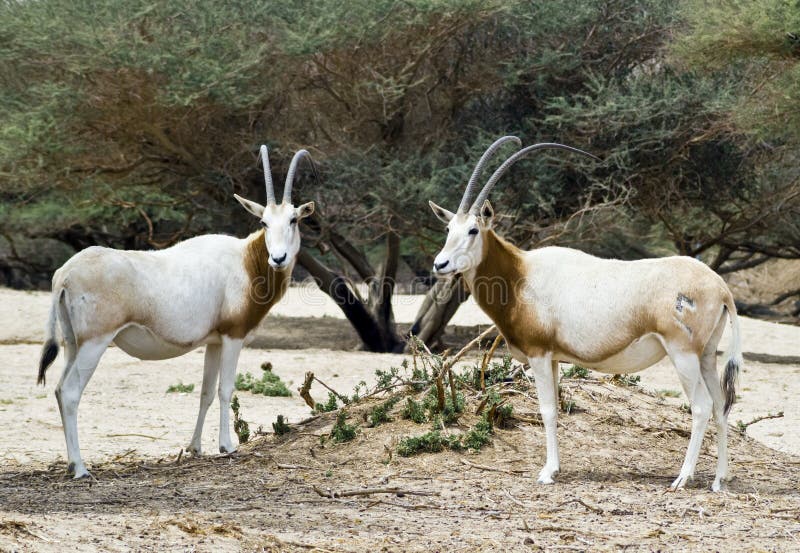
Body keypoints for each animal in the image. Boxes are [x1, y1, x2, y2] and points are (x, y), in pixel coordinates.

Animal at [37, 146, 316, 478]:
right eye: (263, 222)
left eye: (293, 220)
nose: (278, 258)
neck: (246, 262)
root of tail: (64, 274)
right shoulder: (233, 337)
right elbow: (226, 389)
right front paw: (227, 446)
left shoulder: (214, 341)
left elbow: (206, 392)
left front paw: (195, 448)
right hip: (95, 342)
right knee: (69, 391)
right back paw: (80, 468)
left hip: (72, 343)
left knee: (57, 389)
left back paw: (71, 463)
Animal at [429, 137, 742, 491]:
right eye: (448, 228)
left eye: (473, 230)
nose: (440, 264)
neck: (521, 274)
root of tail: (720, 286)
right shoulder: (552, 358)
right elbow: (554, 409)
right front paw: (554, 468)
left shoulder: (538, 354)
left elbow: (547, 410)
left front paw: (547, 473)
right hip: (706, 356)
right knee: (721, 406)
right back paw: (719, 479)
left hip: (683, 354)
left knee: (702, 406)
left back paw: (682, 478)